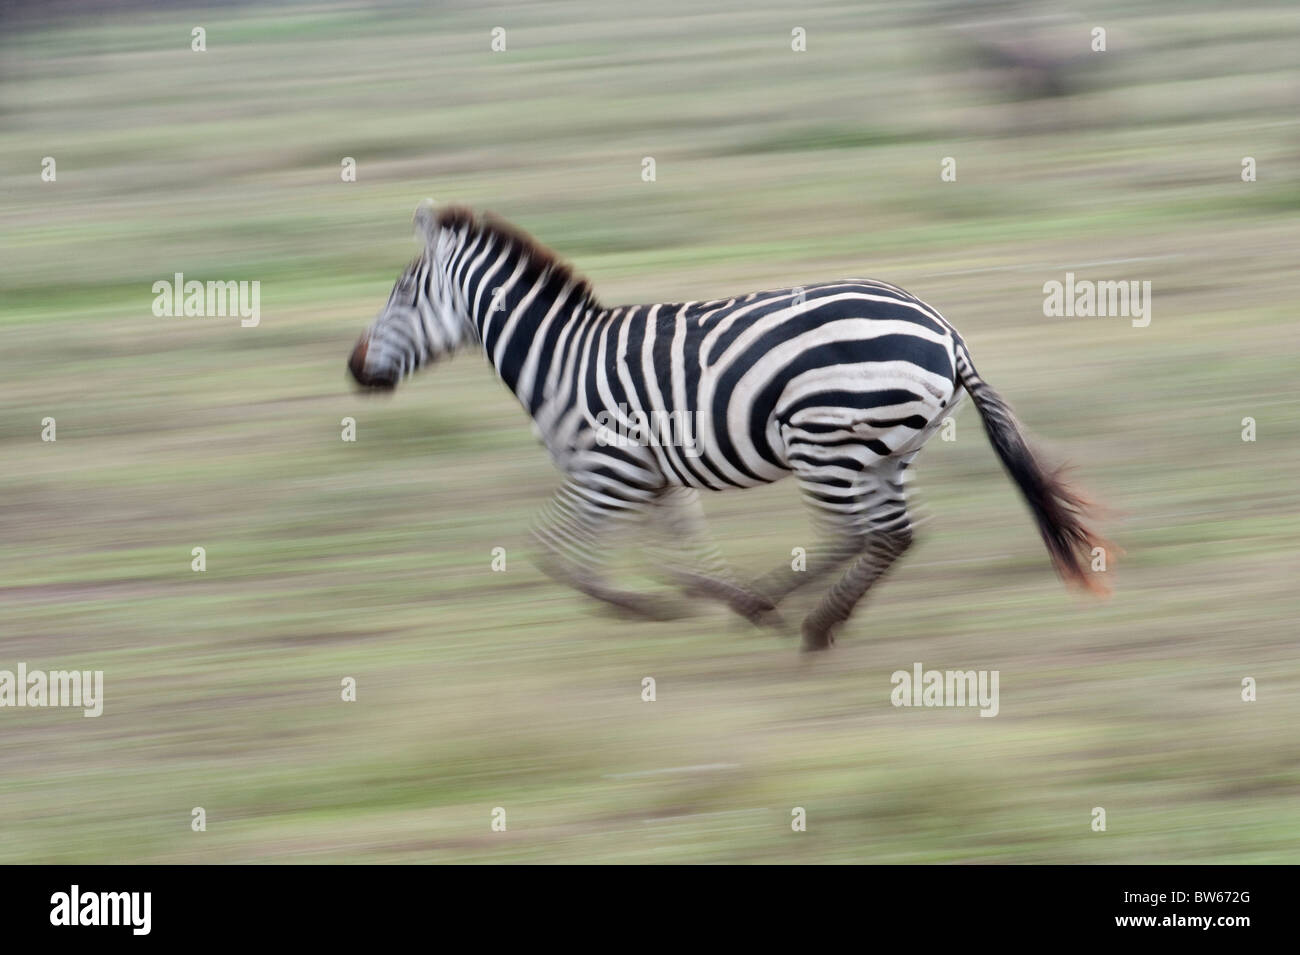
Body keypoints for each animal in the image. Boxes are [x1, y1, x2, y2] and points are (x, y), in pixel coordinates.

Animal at [348, 201, 1109, 651]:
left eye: (402, 293)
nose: (355, 369)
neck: (557, 356)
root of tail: (948, 334)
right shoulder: (654, 475)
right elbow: (683, 548)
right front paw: (712, 595)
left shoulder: (606, 469)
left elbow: (558, 557)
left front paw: (647, 607)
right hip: (887, 449)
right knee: (894, 535)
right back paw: (807, 614)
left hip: (826, 439)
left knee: (856, 534)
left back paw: (805, 618)